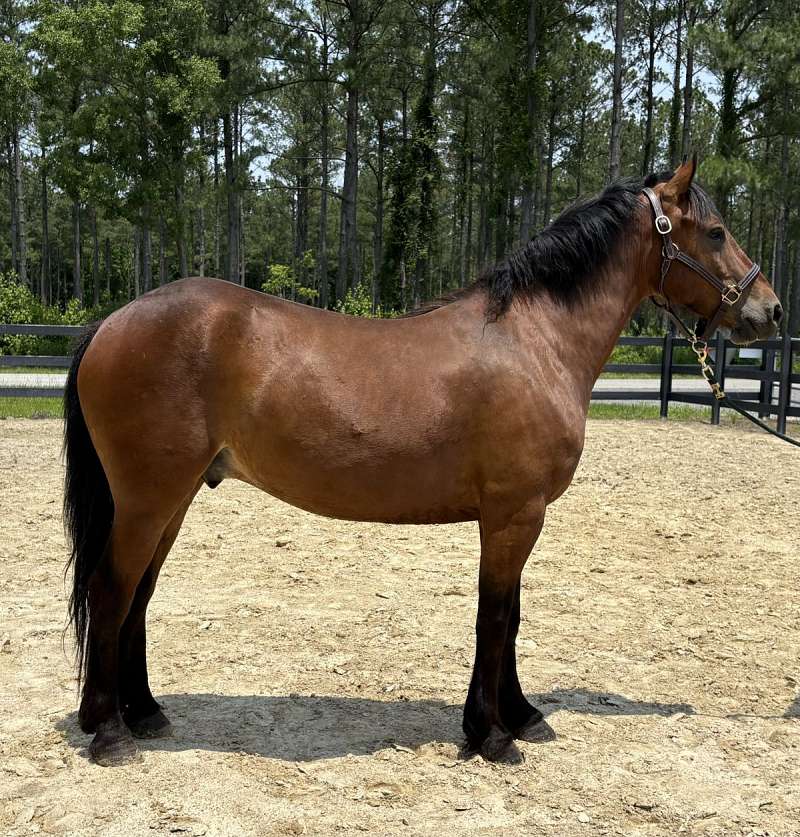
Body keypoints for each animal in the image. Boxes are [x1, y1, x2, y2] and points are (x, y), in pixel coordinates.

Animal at [63, 159, 781, 766]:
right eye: (715, 231)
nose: (769, 309)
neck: (535, 341)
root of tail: (109, 324)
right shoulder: (514, 513)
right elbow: (496, 616)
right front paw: (492, 734)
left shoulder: (518, 515)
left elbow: (511, 615)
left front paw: (521, 714)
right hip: (149, 499)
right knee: (111, 590)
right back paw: (110, 732)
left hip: (173, 499)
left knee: (138, 595)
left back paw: (145, 713)